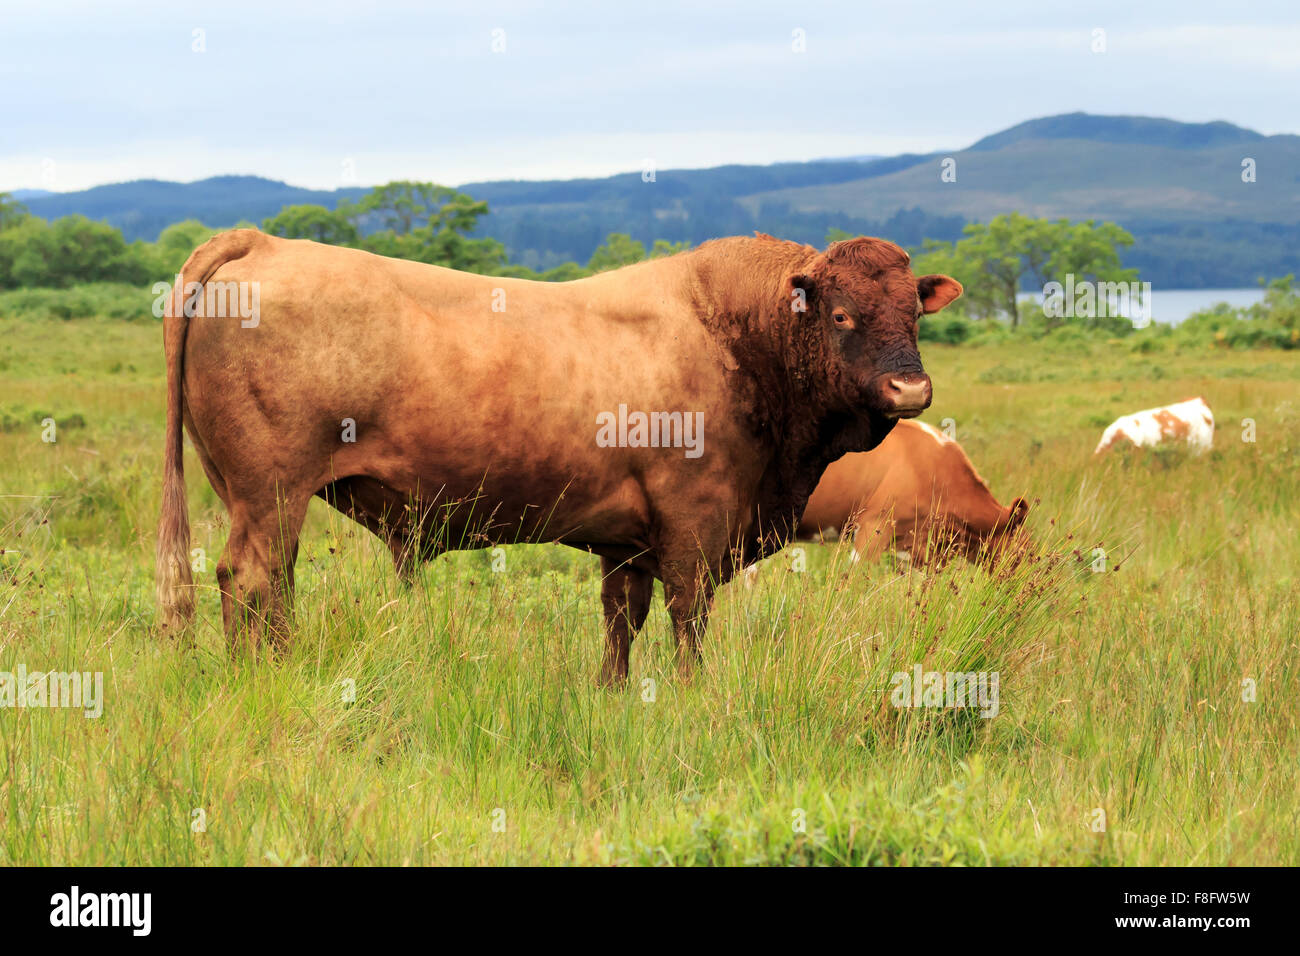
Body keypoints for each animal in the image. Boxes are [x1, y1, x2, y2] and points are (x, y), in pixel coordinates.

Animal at [155, 229, 961, 684]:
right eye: (841, 315)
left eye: (915, 314)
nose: (911, 387)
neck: (736, 333)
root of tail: (263, 242)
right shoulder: (695, 519)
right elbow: (688, 615)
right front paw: (694, 694)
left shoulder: (628, 539)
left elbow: (621, 620)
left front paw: (613, 694)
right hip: (271, 492)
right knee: (251, 580)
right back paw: (266, 677)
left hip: (259, 499)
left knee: (274, 583)